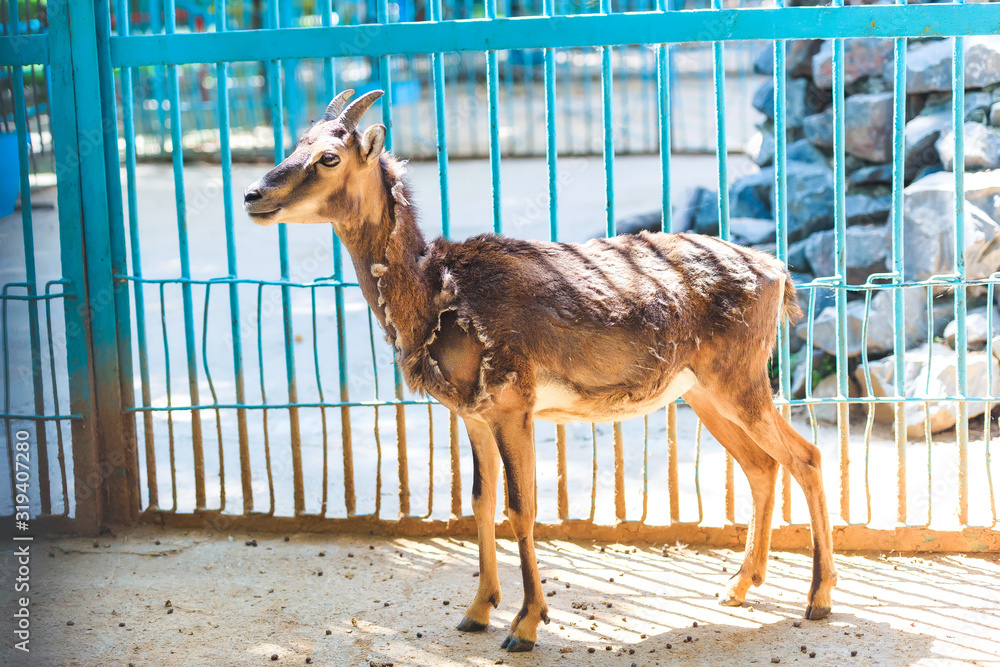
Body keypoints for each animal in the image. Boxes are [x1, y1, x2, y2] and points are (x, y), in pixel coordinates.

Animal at [244, 89, 837, 653]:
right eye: (296, 143)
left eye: (328, 157)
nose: (253, 196)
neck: (436, 297)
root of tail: (780, 274)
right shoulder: (473, 412)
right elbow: (479, 503)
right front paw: (476, 612)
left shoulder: (514, 401)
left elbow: (521, 508)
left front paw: (525, 626)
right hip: (702, 392)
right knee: (762, 465)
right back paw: (737, 587)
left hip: (740, 379)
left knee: (806, 455)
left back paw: (818, 599)